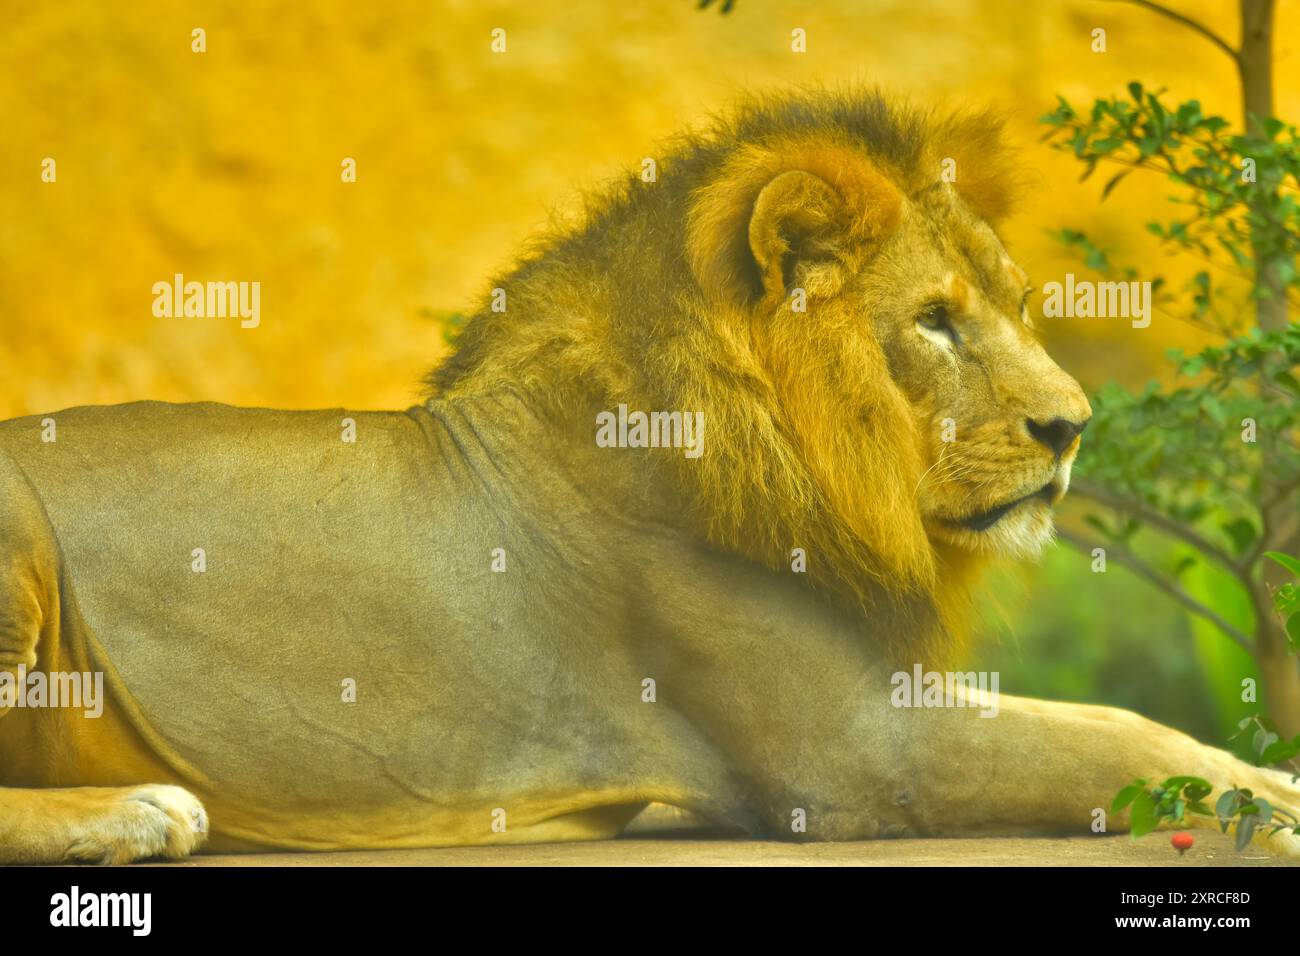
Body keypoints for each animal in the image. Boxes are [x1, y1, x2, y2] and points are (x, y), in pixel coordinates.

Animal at [2, 88, 1298, 864]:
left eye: (1022, 305)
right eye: (933, 320)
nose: (1071, 427)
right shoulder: (854, 753)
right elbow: (1113, 730)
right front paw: (1269, 795)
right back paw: (135, 811)